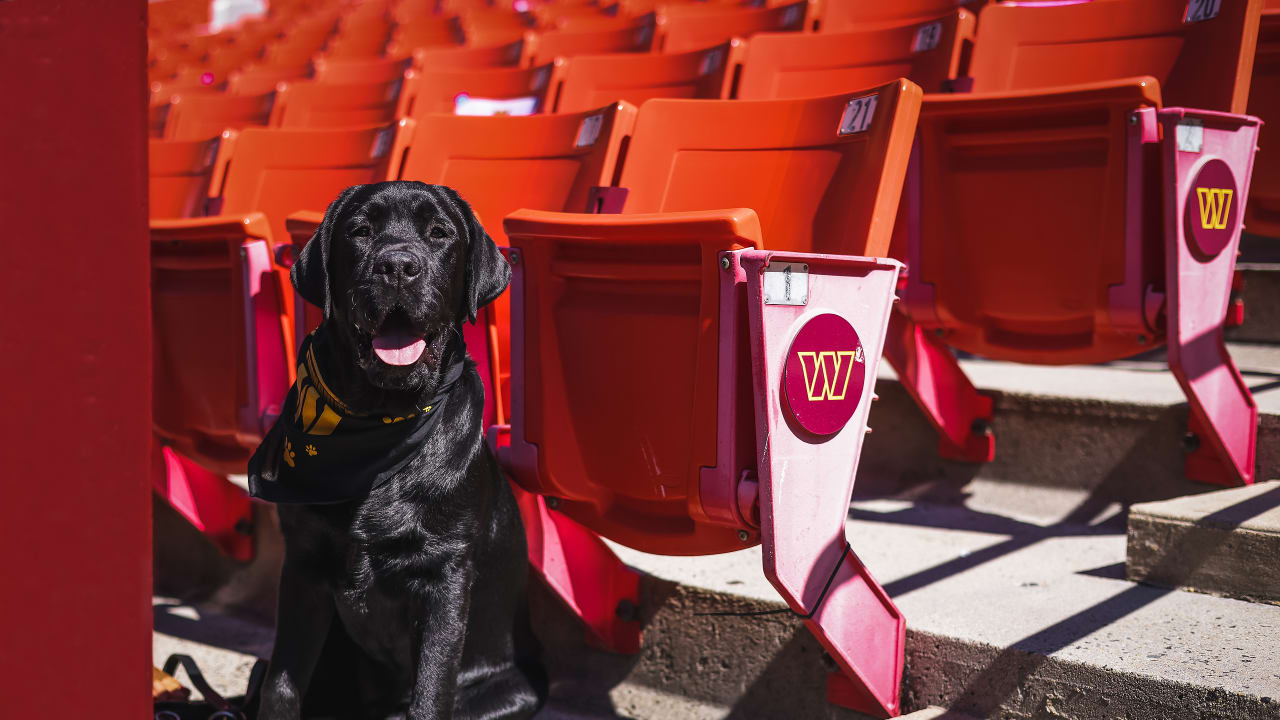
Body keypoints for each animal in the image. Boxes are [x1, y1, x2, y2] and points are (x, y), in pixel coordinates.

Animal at [248, 180, 540, 717]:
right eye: (360, 231)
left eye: (440, 233)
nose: (398, 266)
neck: (379, 425)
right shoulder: (303, 566)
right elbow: (282, 682)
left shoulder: (444, 577)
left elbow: (430, 692)